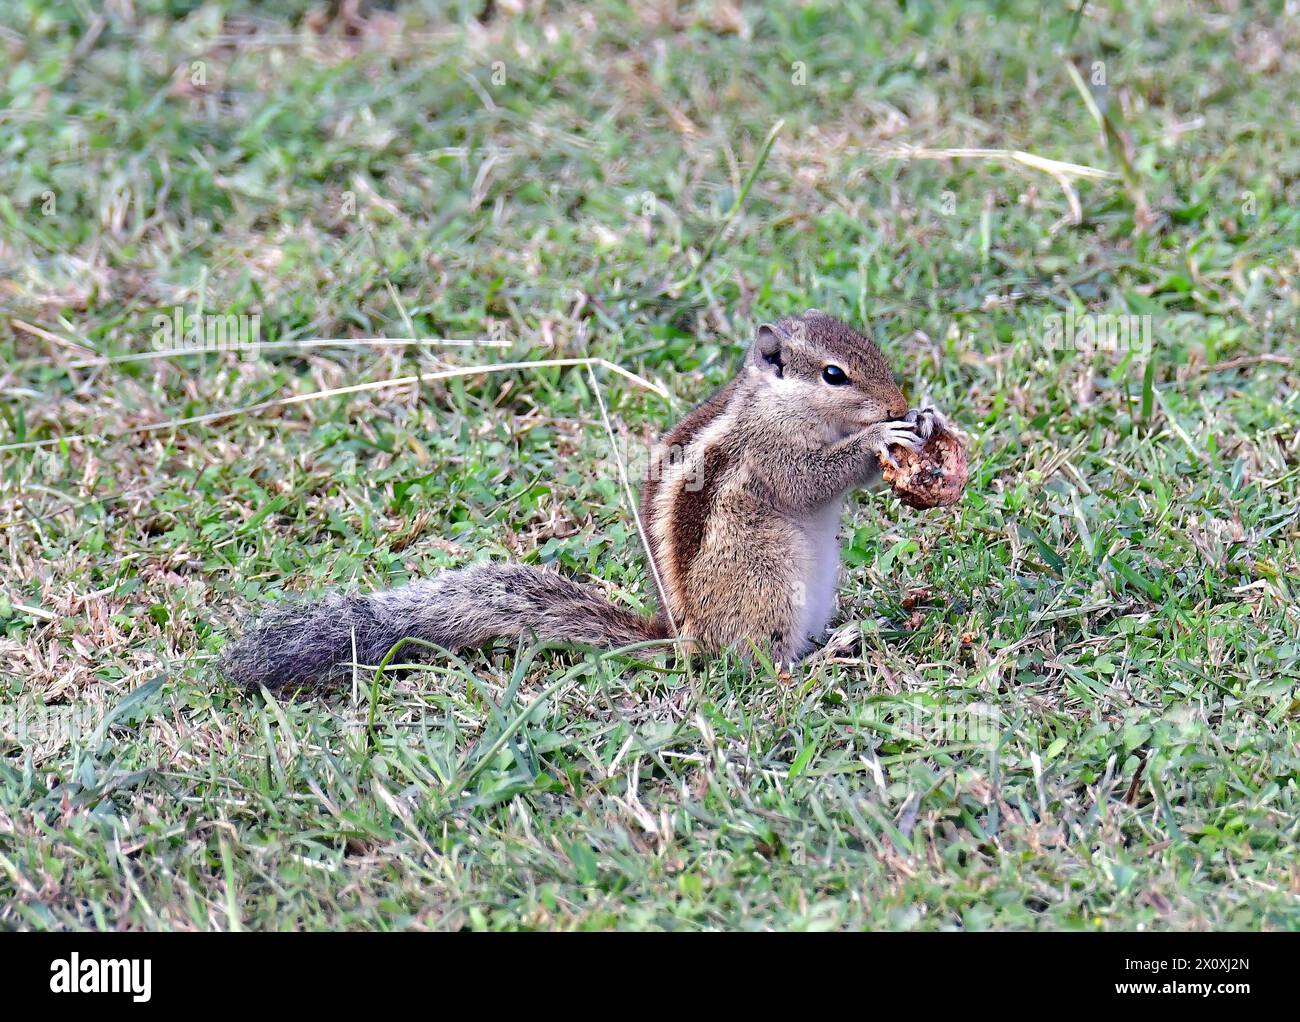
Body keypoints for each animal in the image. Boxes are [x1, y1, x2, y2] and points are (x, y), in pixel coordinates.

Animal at [219, 310, 940, 689]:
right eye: (834, 374)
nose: (897, 402)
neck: (777, 402)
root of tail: (687, 640)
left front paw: (922, 419)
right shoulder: (773, 455)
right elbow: (812, 476)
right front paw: (882, 437)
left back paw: (845, 636)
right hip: (768, 587)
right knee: (761, 667)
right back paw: (822, 661)